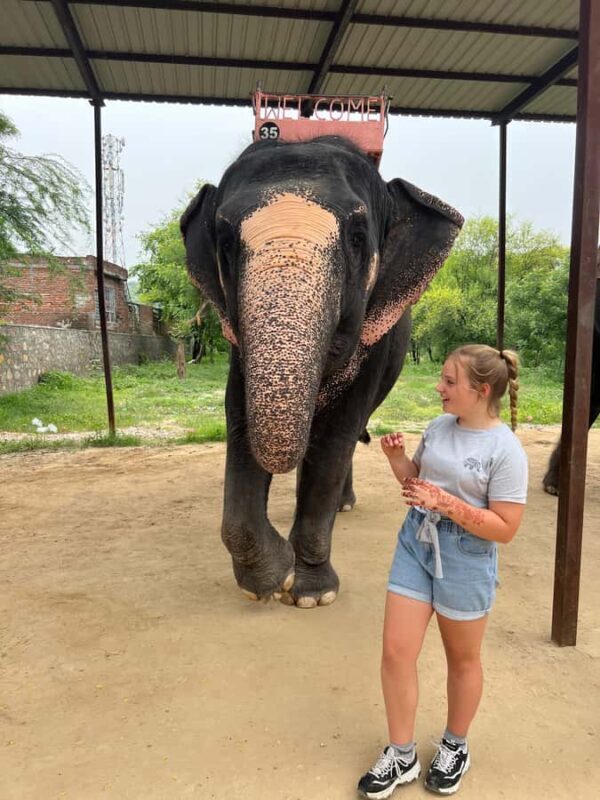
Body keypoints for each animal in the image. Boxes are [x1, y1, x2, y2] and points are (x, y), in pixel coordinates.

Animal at [181, 135, 463, 607]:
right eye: (225, 242)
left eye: (357, 237)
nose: (290, 580)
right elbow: (239, 421)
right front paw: (270, 582)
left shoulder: (374, 339)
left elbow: (335, 435)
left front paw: (310, 595)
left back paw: (341, 506)